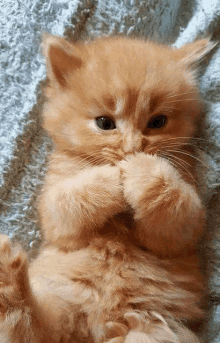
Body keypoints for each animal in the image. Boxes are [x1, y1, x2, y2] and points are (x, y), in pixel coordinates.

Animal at [0, 34, 214, 342]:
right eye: (105, 123)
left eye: (157, 122)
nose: (133, 147)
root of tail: (99, 330)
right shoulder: (56, 214)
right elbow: (77, 194)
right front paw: (115, 175)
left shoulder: (183, 230)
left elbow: (172, 197)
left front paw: (139, 169)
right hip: (63, 300)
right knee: (33, 327)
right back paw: (7, 278)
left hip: (155, 329)